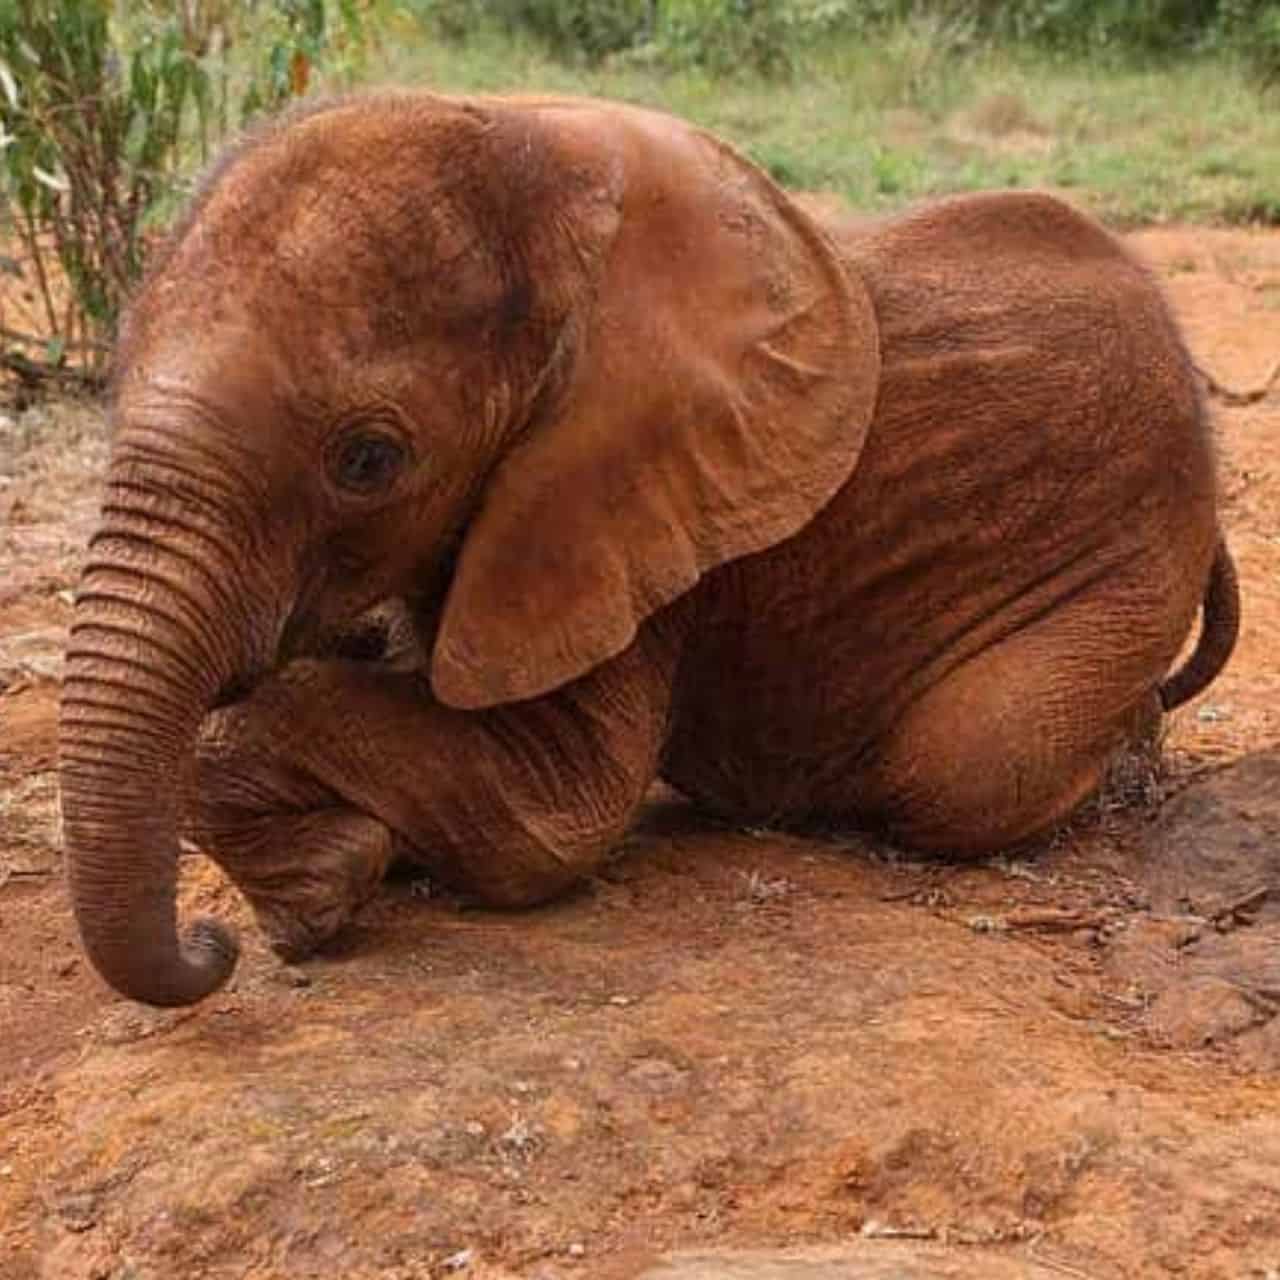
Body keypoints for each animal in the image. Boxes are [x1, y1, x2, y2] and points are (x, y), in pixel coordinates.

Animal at [59, 91, 1239, 1008]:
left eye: (368, 459)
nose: (206, 947)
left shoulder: (628, 510)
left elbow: (551, 816)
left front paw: (319, 893)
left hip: (1134, 540)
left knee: (970, 763)